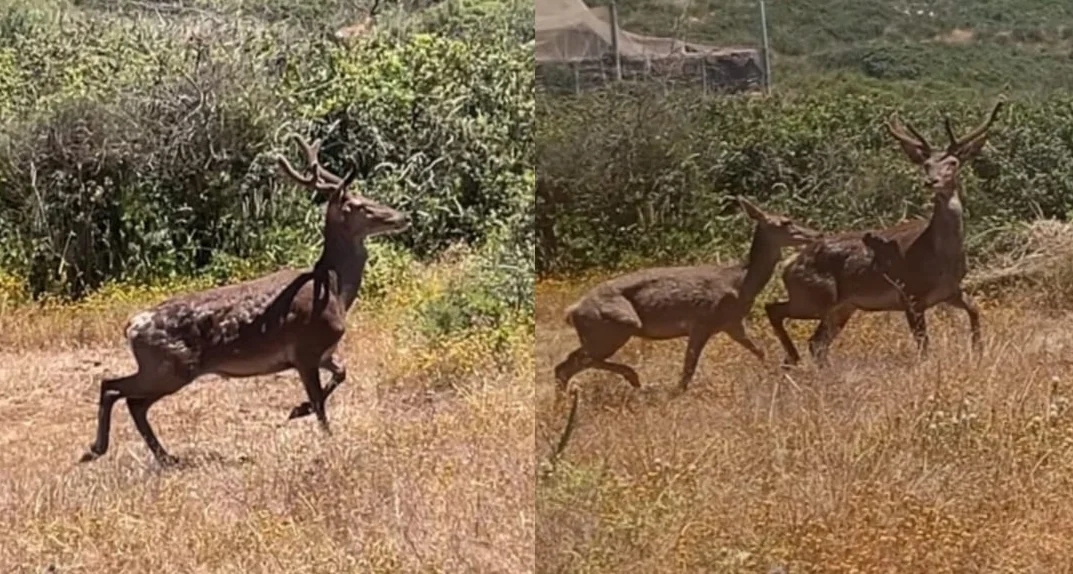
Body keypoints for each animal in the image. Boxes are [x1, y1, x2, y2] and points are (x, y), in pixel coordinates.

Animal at [78, 134, 410, 467]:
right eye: (360, 206)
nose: (402, 216)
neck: (335, 290)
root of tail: (132, 325)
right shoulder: (306, 349)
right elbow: (318, 402)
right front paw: (327, 439)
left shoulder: (323, 352)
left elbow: (341, 374)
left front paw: (298, 410)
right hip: (169, 367)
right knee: (117, 390)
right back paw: (99, 449)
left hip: (163, 368)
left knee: (129, 399)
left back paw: (158, 456)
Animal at [554, 197, 822, 392]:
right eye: (785, 222)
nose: (815, 234)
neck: (741, 282)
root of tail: (572, 311)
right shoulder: (703, 321)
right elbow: (688, 369)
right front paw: (677, 394)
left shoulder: (732, 324)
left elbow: (760, 351)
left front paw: (776, 376)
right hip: (615, 325)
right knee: (572, 363)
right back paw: (633, 378)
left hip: (600, 333)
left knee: (565, 366)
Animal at [764, 98, 1005, 368]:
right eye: (926, 164)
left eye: (953, 163)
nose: (930, 181)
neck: (940, 256)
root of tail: (789, 263)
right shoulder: (909, 294)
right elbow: (924, 345)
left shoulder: (951, 290)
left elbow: (975, 310)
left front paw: (978, 351)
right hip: (814, 295)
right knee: (774, 309)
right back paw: (791, 357)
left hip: (842, 306)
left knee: (816, 342)